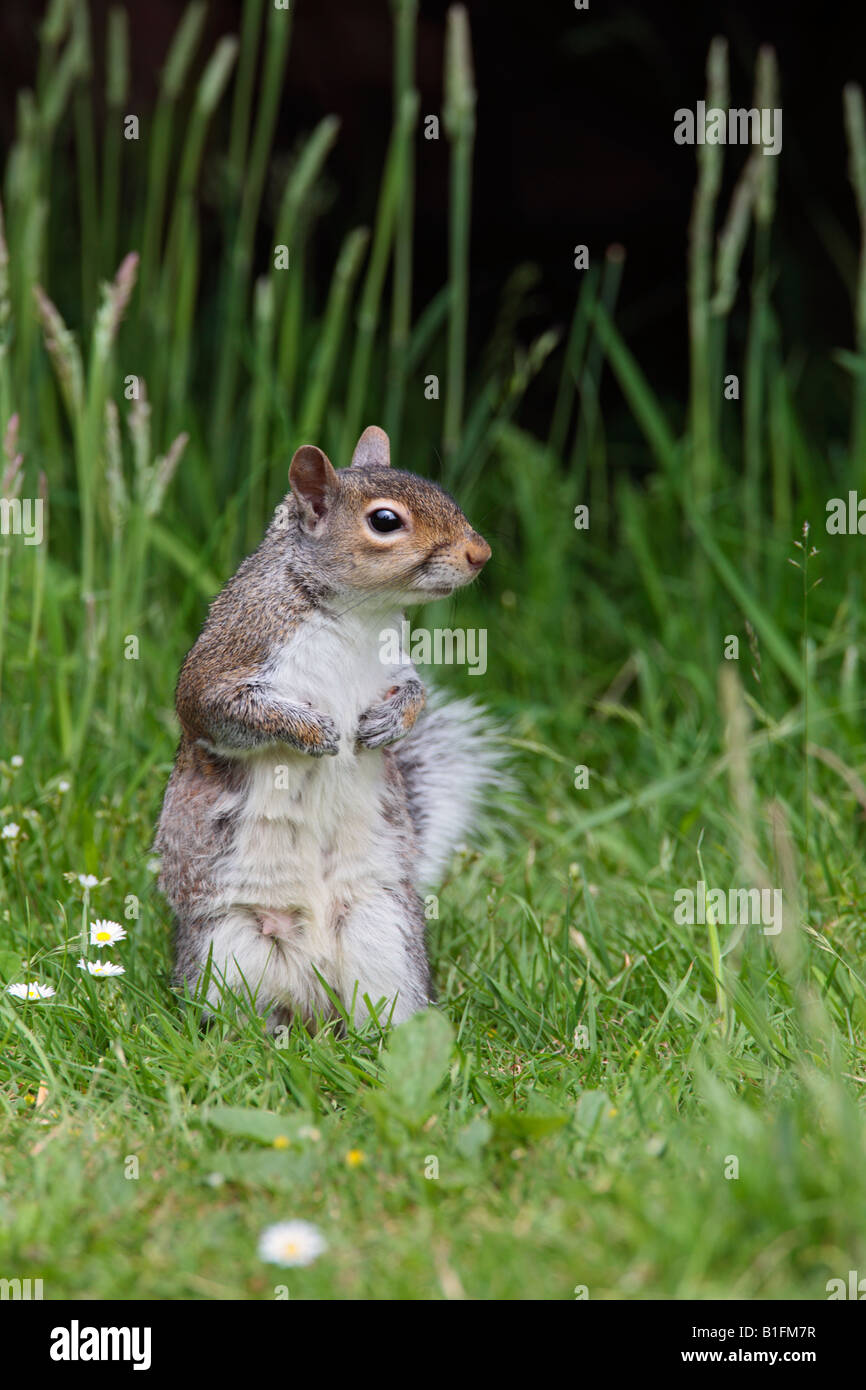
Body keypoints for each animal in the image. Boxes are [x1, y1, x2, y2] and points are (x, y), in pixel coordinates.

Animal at [154, 425, 503, 1030]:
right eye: (385, 521)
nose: (479, 553)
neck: (358, 612)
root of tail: (313, 997)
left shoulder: (396, 665)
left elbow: (415, 691)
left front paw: (388, 723)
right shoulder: (229, 659)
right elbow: (220, 708)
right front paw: (313, 731)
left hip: (385, 933)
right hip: (223, 951)